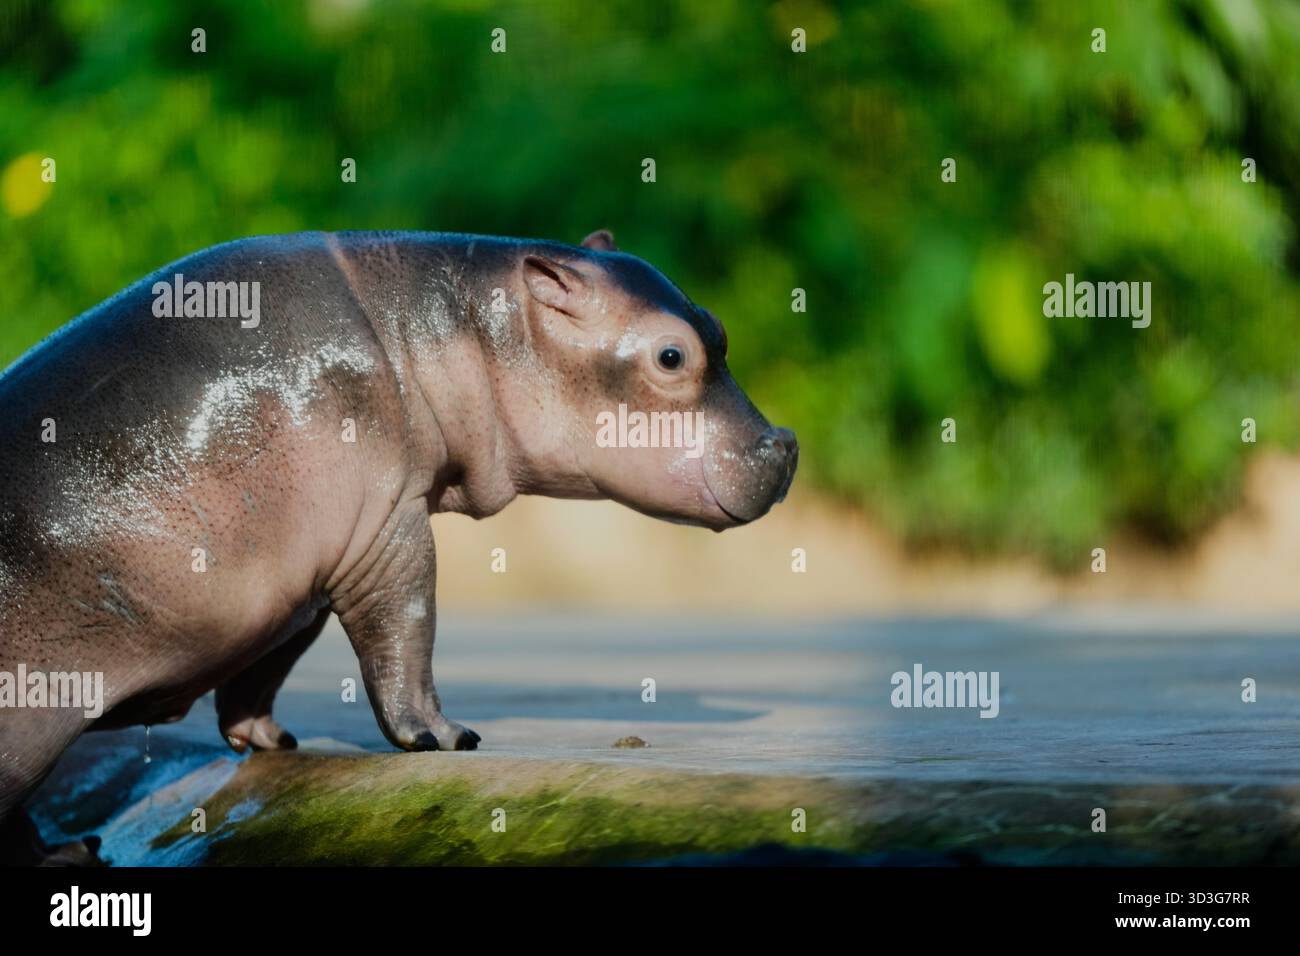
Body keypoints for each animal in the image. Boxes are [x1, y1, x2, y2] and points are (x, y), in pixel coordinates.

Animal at [0, 229, 797, 864]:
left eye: (719, 327)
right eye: (672, 355)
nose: (784, 445)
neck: (450, 327)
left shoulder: (315, 566)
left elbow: (271, 661)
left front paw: (267, 741)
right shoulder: (389, 528)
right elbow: (406, 631)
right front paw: (447, 739)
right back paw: (66, 853)